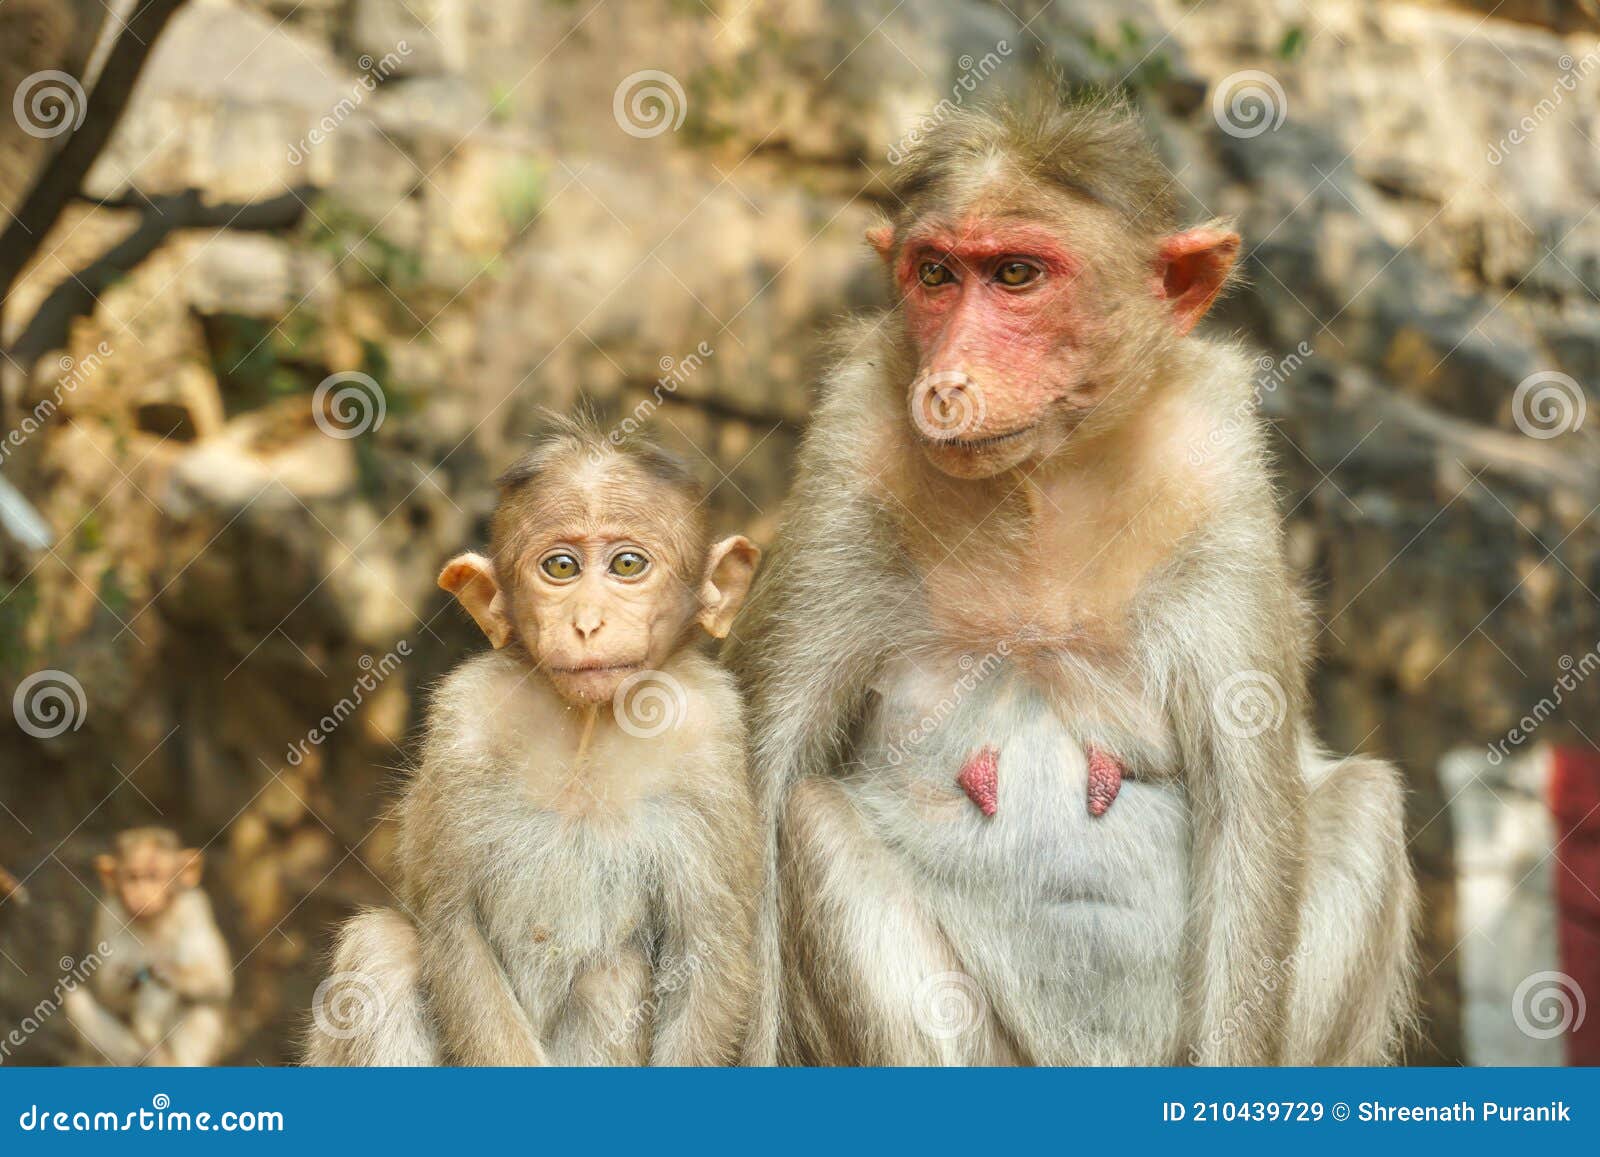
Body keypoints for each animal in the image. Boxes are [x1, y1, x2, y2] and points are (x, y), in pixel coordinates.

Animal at [62, 827, 232, 1066]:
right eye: (132, 877)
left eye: (154, 876)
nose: (142, 892)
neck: (153, 920)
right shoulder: (106, 916)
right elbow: (105, 995)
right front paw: (126, 975)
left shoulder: (195, 908)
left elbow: (218, 979)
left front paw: (165, 969)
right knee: (76, 1001)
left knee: (202, 1002)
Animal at [306, 419, 761, 1067]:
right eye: (561, 568)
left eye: (627, 564)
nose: (588, 621)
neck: (589, 726)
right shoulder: (463, 718)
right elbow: (451, 921)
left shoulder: (710, 732)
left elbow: (707, 947)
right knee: (383, 944)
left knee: (611, 974)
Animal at [727, 93, 1417, 1067]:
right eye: (935, 274)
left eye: (1017, 274)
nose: (947, 382)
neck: (1042, 482)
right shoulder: (850, 448)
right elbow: (758, 776)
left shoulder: (1218, 469)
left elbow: (1249, 808)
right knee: (812, 818)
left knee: (1364, 802)